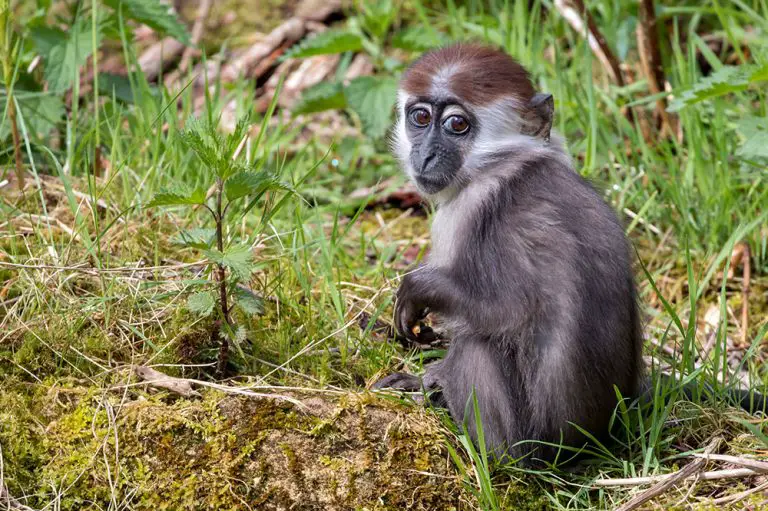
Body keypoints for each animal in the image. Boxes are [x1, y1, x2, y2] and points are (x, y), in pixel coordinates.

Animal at [372, 43, 766, 466]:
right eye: (420, 117)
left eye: (456, 125)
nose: (425, 155)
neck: (503, 162)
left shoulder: (471, 210)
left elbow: (509, 310)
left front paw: (418, 295)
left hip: (530, 441)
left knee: (478, 347)